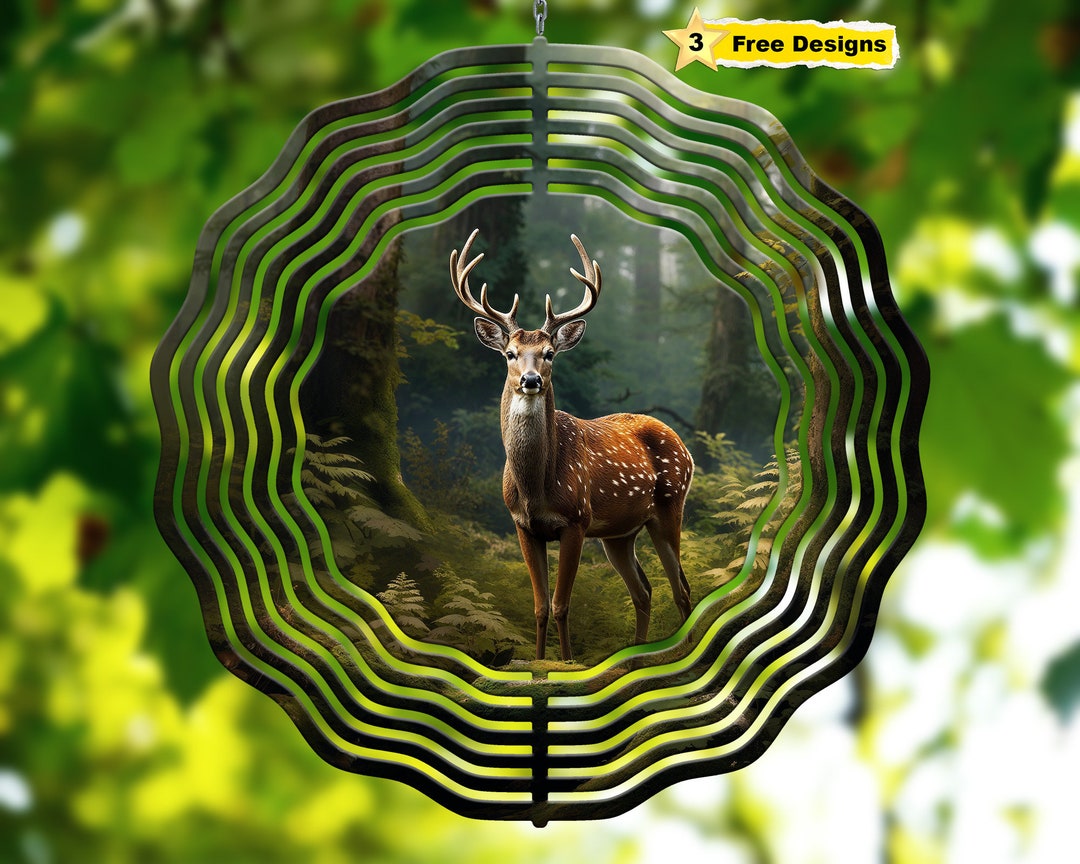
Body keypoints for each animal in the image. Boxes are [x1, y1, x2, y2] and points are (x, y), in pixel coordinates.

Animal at [450, 229, 694, 662]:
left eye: (549, 354)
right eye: (510, 354)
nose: (530, 380)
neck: (536, 488)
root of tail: (685, 448)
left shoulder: (576, 520)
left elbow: (563, 604)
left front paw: (566, 661)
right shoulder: (522, 525)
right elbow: (540, 606)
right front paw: (539, 662)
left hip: (670, 505)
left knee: (680, 588)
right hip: (619, 533)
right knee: (644, 590)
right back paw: (635, 652)